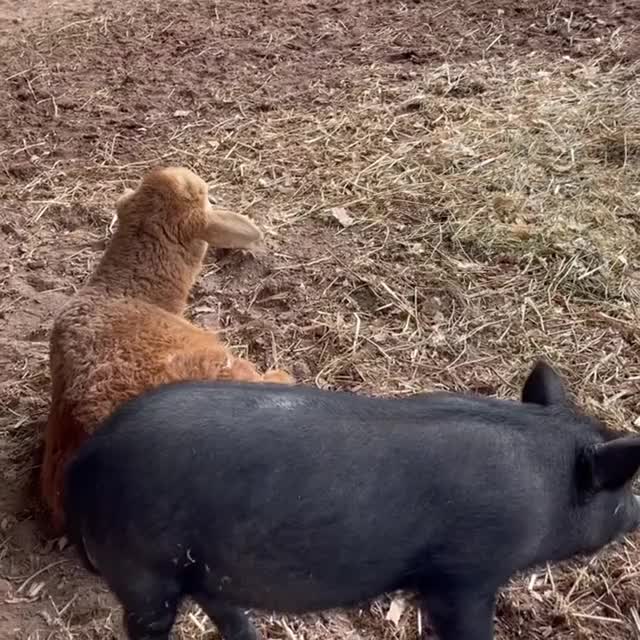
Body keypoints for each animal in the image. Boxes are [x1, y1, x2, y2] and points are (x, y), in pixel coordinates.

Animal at [63, 360, 640, 640]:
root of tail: (87, 456)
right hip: (143, 569)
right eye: (619, 489)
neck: (545, 487)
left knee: (222, 606)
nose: (636, 514)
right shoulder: (465, 573)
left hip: (201, 564)